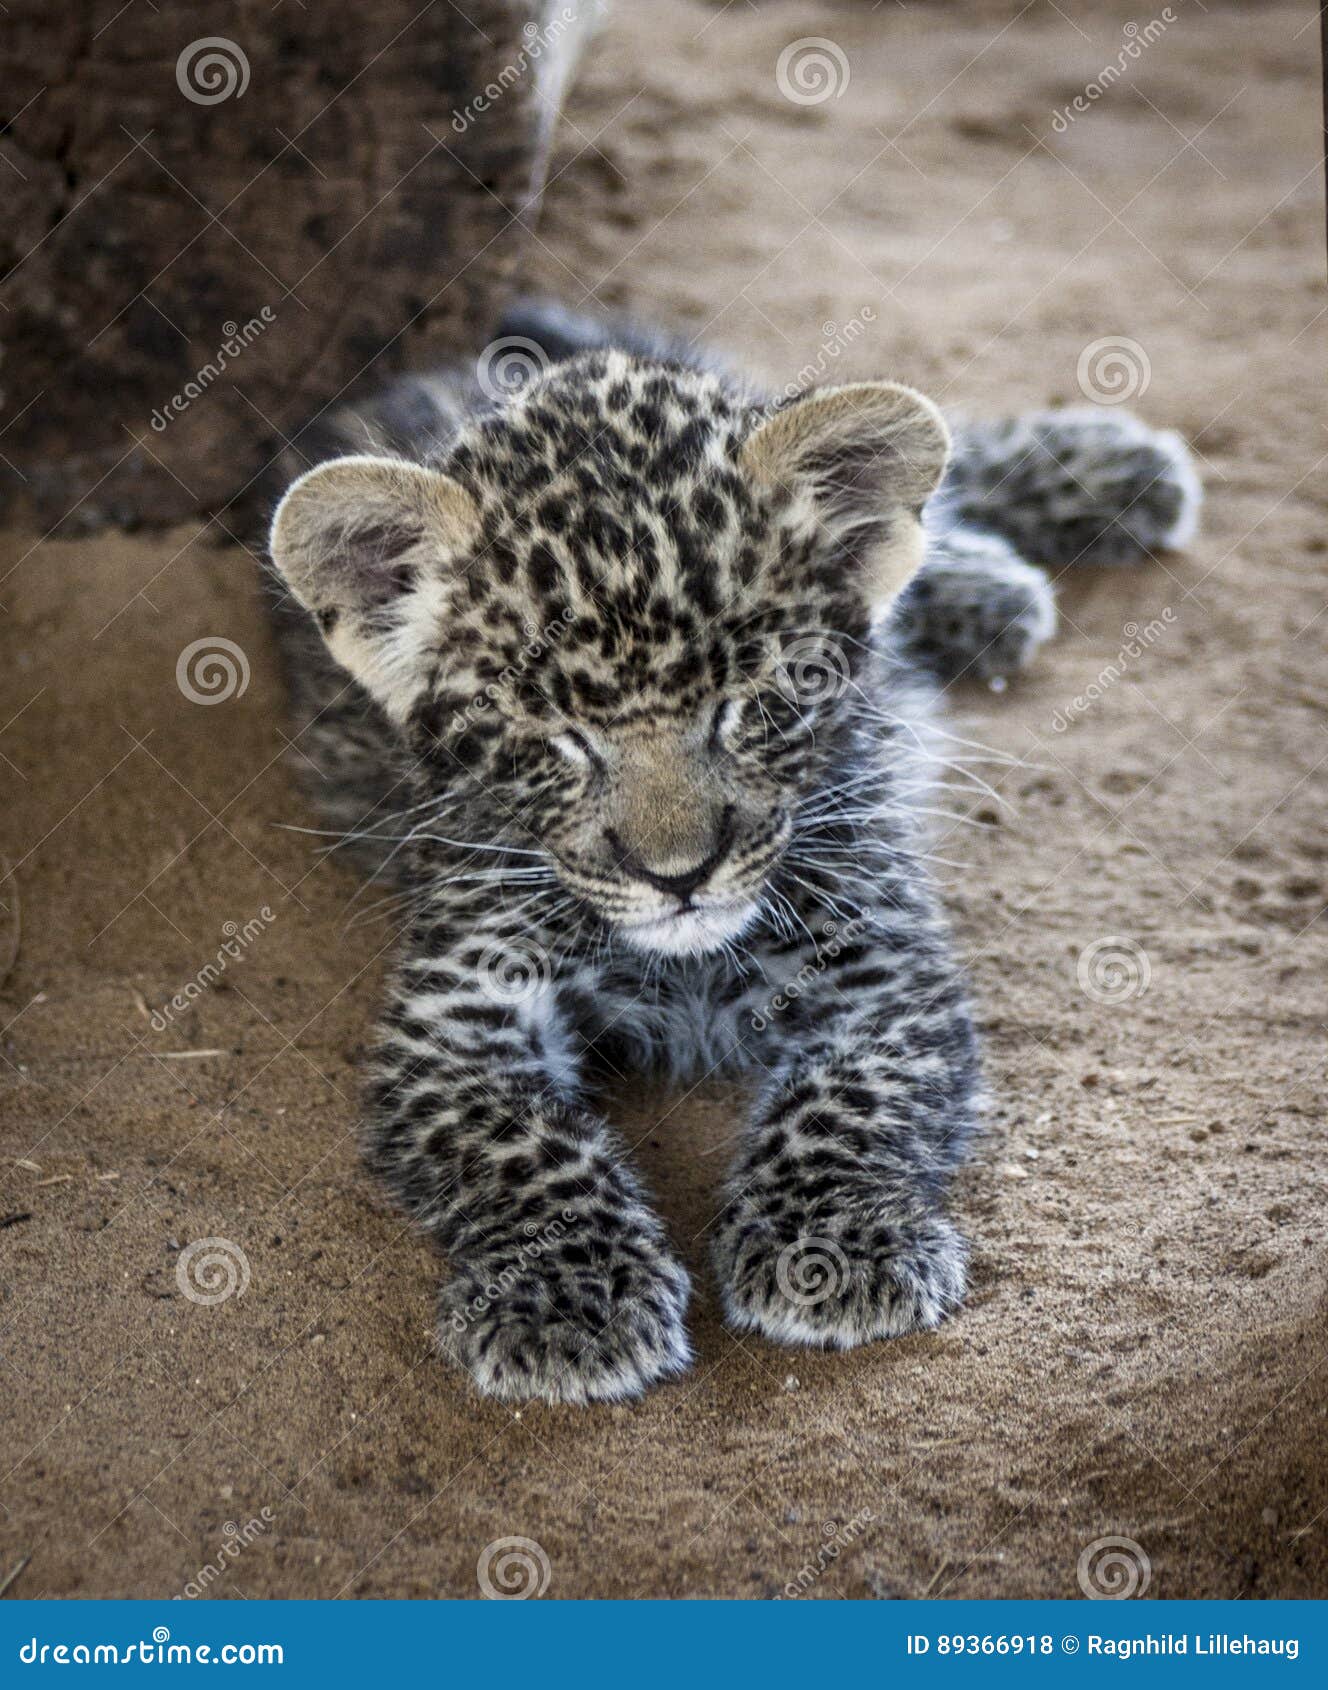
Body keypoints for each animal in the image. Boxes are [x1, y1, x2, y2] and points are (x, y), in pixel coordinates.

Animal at [265, 299, 1200, 1404]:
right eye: (556, 740)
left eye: (747, 704)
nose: (677, 875)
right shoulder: (457, 1008)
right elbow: (519, 1142)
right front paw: (565, 1293)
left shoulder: (879, 960)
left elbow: (848, 1100)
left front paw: (827, 1248)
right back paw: (994, 581)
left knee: (944, 468)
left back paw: (1095, 479)